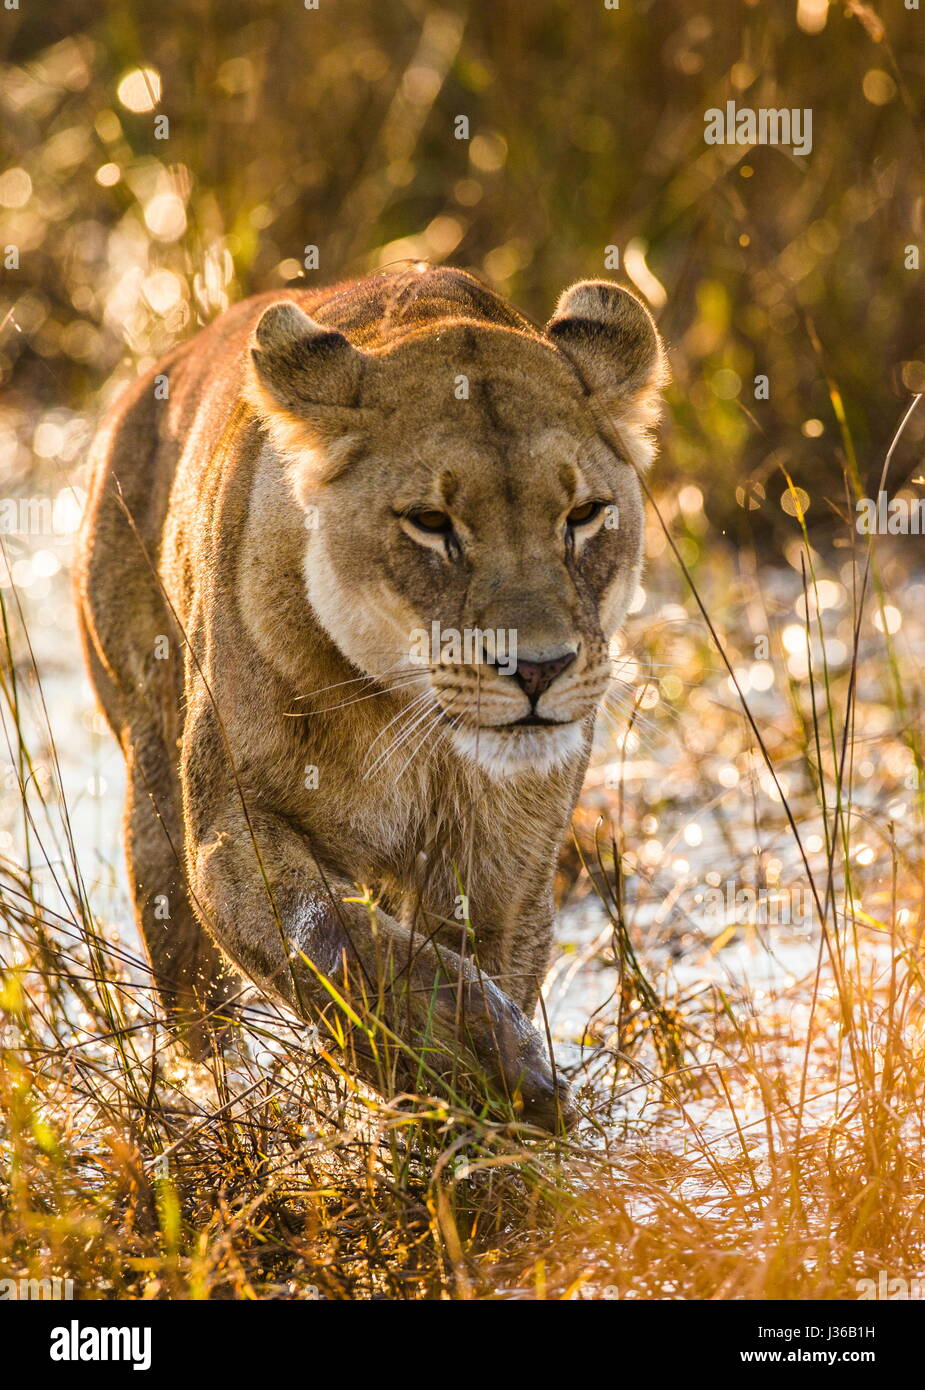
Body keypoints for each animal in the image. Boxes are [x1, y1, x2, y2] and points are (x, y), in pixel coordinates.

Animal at [75, 266, 666, 1131]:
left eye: (584, 515)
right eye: (430, 522)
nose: (538, 669)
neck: (415, 729)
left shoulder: (505, 863)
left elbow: (470, 955)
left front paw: (483, 1123)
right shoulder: (228, 828)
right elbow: (335, 941)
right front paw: (486, 1067)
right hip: (151, 782)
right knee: (192, 991)